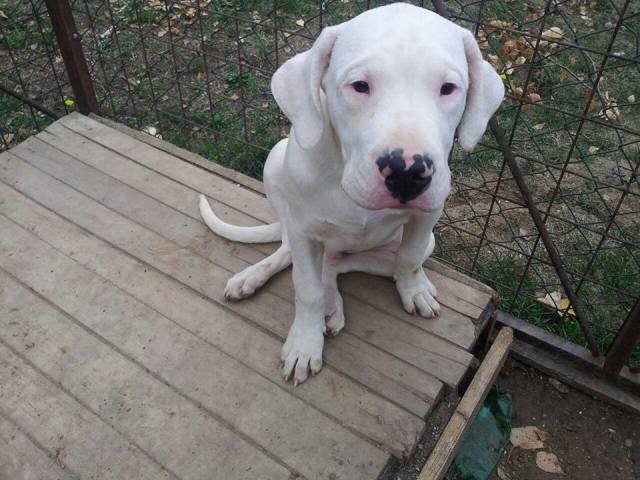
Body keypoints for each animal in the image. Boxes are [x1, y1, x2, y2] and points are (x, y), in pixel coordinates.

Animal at [200, 2, 504, 386]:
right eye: (360, 85)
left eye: (448, 88)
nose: (407, 173)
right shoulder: (302, 231)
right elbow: (306, 289)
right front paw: (304, 343)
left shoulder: (428, 216)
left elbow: (409, 258)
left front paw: (414, 290)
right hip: (275, 164)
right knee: (291, 253)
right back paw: (253, 278)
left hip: (405, 245)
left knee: (337, 266)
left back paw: (338, 301)